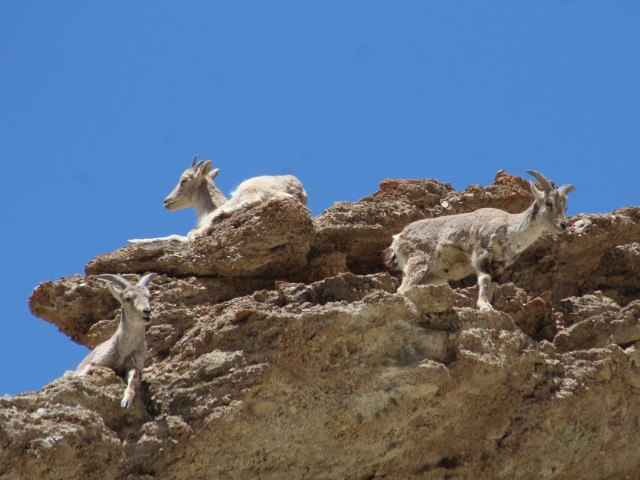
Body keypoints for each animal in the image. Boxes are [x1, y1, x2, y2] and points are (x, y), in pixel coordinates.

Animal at [75, 273, 157, 408]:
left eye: (149, 296)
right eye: (128, 298)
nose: (147, 311)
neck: (124, 350)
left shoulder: (134, 365)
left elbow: (134, 378)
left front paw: (126, 402)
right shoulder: (97, 361)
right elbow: (92, 369)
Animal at [129, 155, 307, 243]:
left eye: (184, 180)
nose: (166, 202)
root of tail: (297, 191)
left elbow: (182, 236)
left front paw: (134, 240)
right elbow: (174, 237)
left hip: (248, 186)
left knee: (255, 201)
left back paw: (219, 217)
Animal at [385, 171, 574, 311]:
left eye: (565, 207)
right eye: (548, 203)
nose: (563, 225)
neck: (509, 229)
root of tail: (397, 239)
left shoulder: (500, 265)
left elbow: (493, 285)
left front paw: (490, 306)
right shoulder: (482, 253)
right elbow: (484, 278)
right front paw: (484, 306)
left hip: (432, 276)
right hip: (419, 262)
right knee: (402, 289)